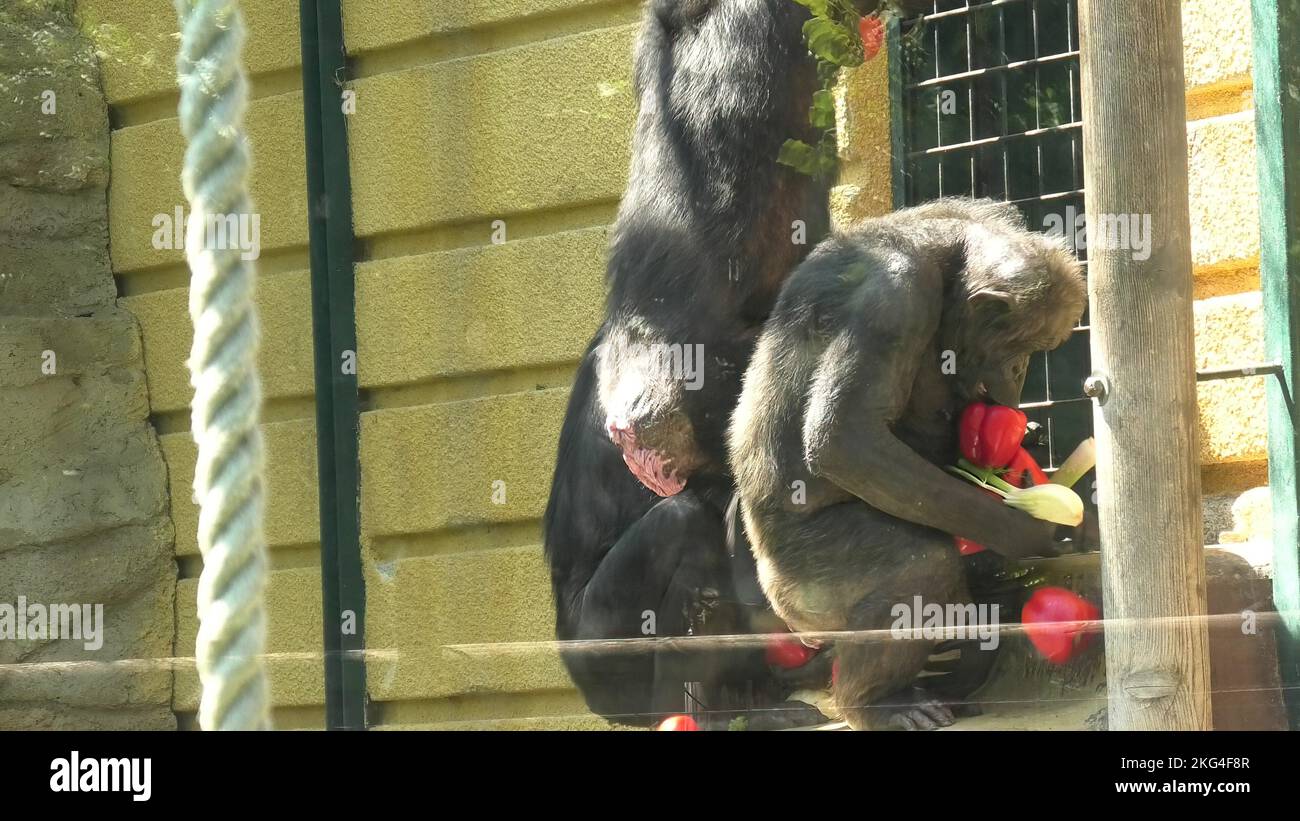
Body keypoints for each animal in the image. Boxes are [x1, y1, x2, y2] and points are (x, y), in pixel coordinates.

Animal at [726, 197, 1089, 730]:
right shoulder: (894, 298)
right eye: (1020, 347)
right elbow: (847, 437)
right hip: (804, 584)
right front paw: (1030, 532)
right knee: (920, 568)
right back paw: (879, 703)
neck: (944, 260)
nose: (1021, 369)